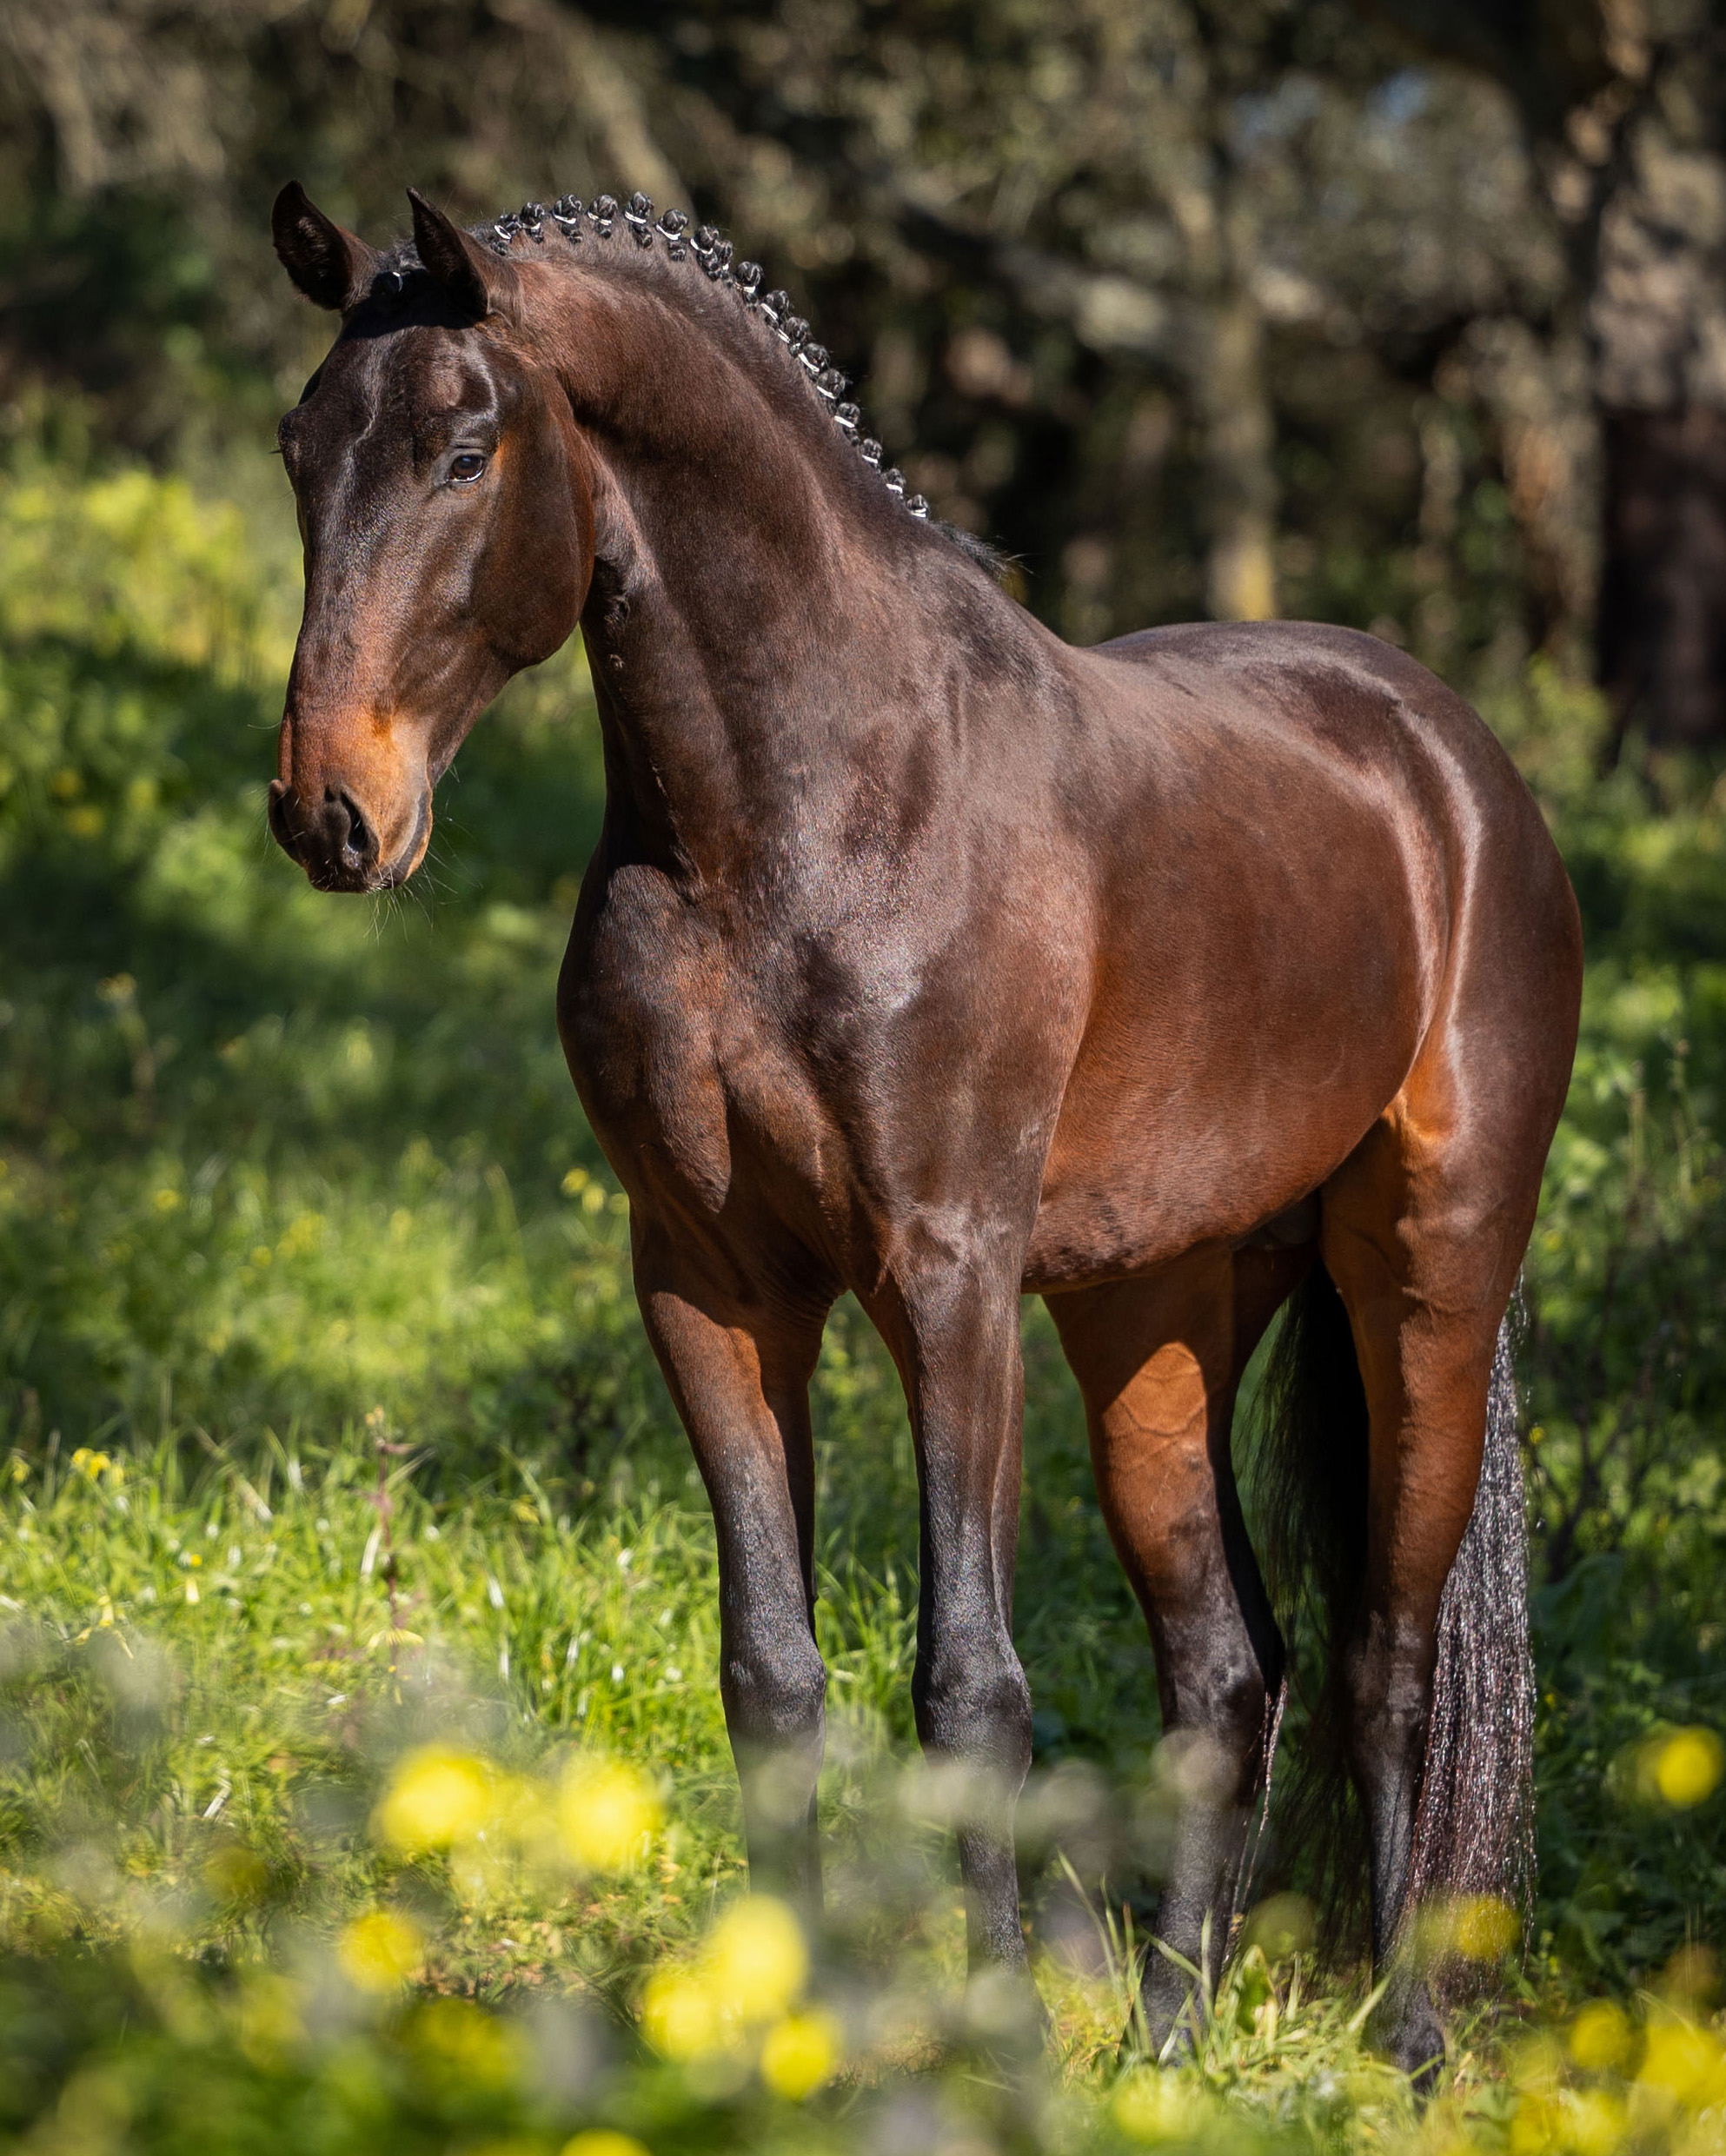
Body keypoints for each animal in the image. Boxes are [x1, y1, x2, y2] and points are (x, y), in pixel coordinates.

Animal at [265, 179, 1583, 2075]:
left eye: (463, 447)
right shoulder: (712, 1283)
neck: (805, 810)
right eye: (301, 447)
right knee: (1227, 1664)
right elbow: (772, 1668)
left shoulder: (947, 1281)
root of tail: (1453, 761)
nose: (330, 812)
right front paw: (784, 2028)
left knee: (1387, 1654)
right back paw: (1166, 2045)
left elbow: (969, 1681)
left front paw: (992, 2040)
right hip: (1155, 1317)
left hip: (1424, 1270)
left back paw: (1405, 2042)